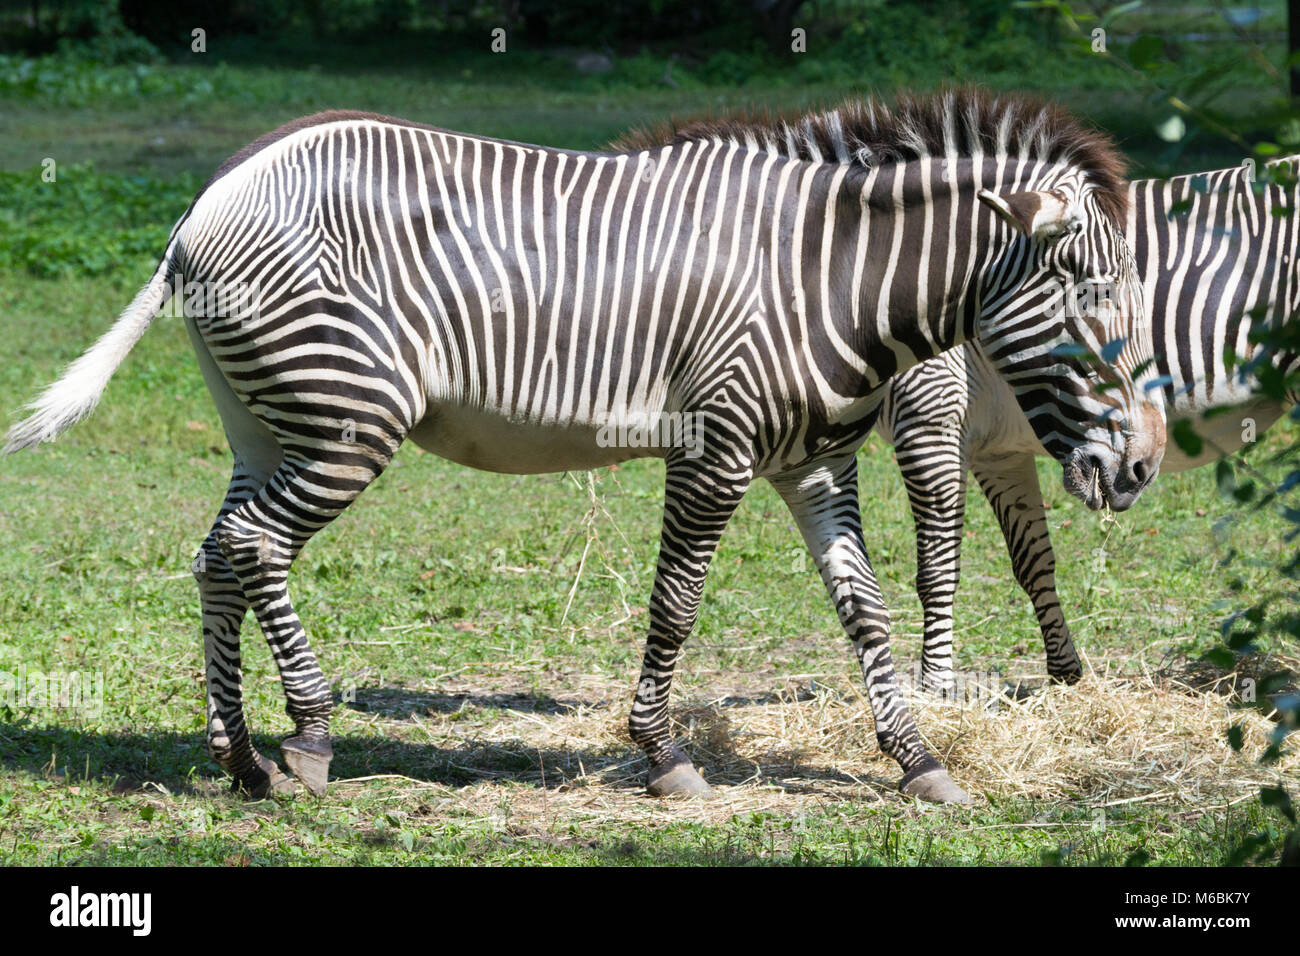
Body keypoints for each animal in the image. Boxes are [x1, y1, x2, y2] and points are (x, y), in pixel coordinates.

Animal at [4, 89, 1165, 806]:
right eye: (1099, 308)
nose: (1143, 469)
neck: (821, 276)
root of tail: (206, 203)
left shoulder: (812, 463)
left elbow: (863, 612)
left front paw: (918, 760)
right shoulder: (715, 444)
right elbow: (676, 604)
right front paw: (664, 757)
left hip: (265, 419)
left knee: (217, 552)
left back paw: (239, 755)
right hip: (348, 417)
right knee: (255, 547)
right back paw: (309, 737)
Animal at [873, 156, 1300, 692]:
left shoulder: (929, 415)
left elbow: (937, 568)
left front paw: (935, 690)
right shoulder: (997, 449)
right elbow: (1033, 560)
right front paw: (1065, 673)